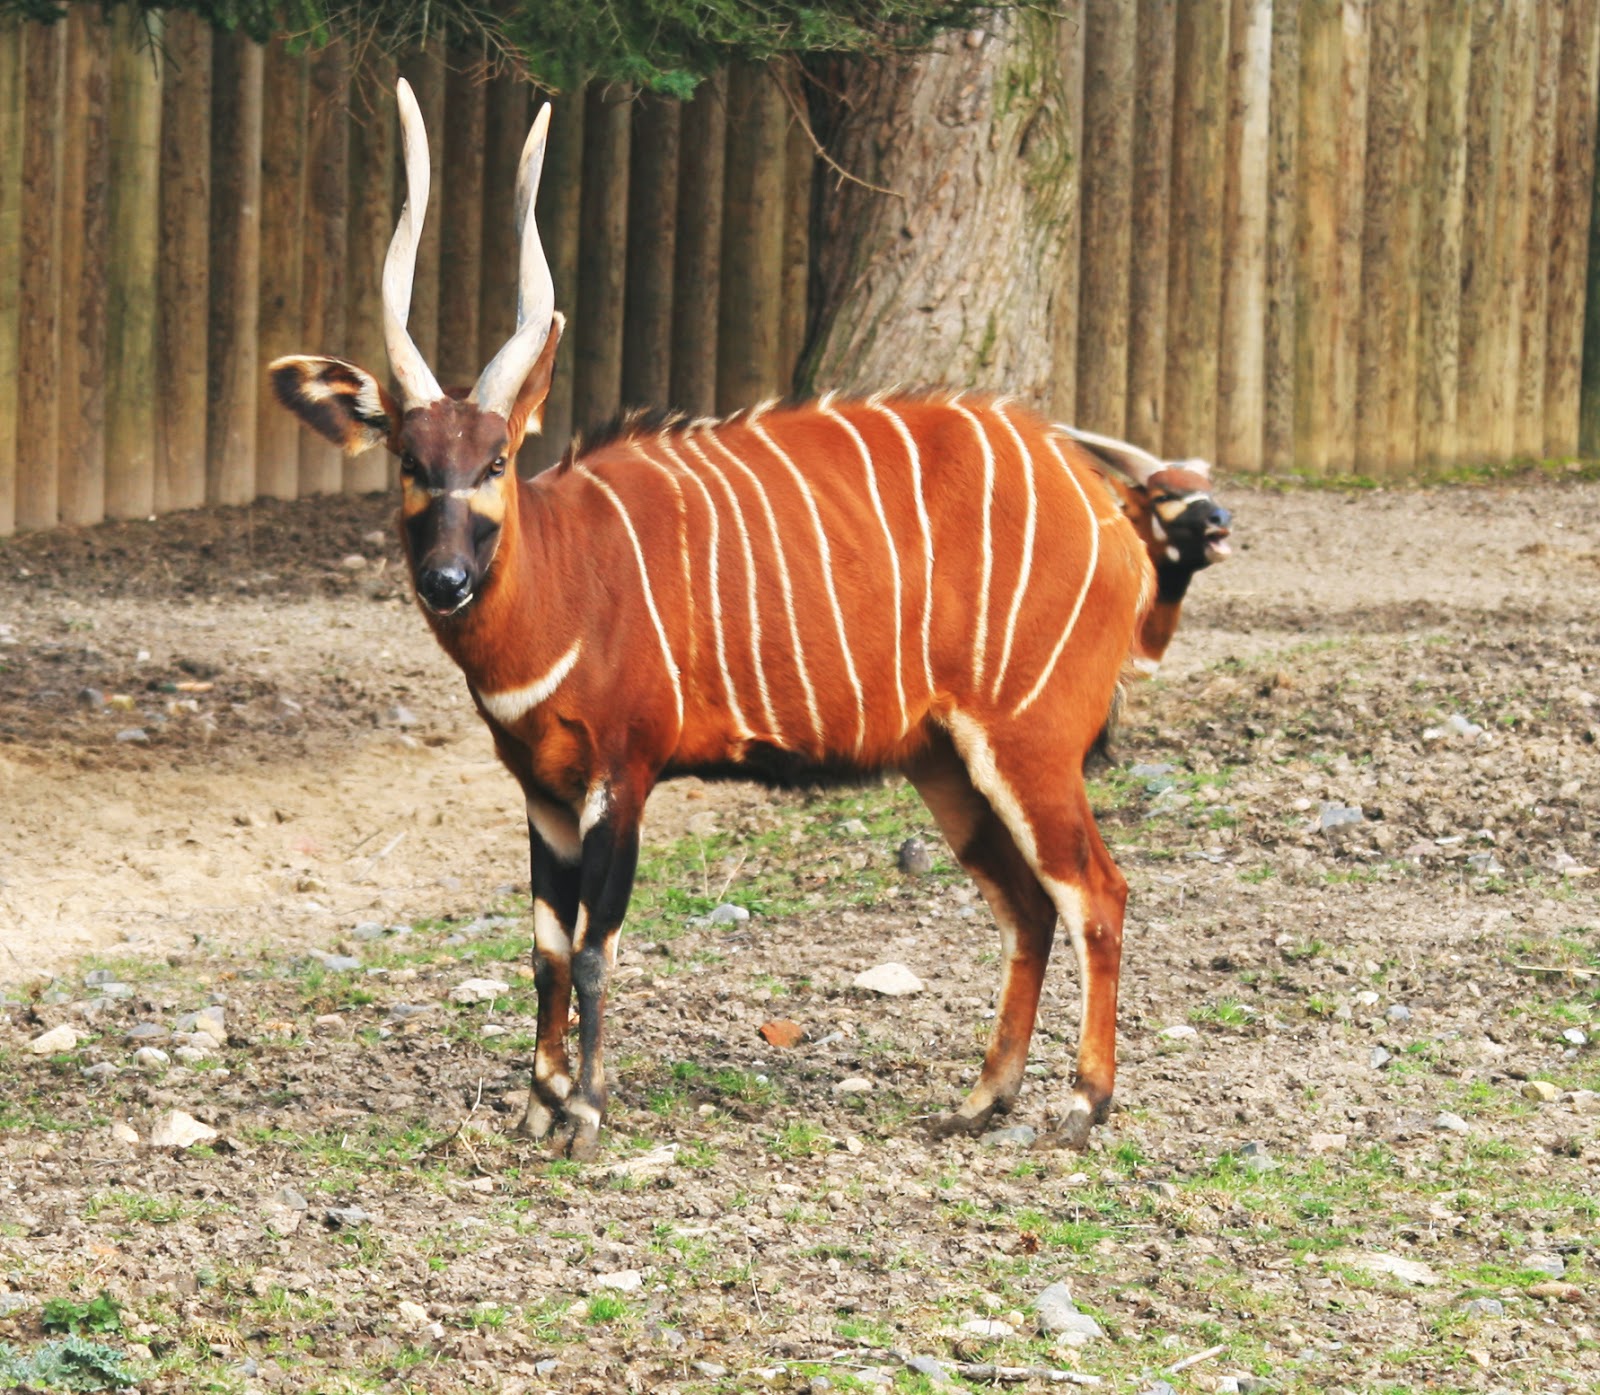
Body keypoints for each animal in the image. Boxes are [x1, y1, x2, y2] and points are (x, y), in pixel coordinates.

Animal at [272, 81, 1160, 1161]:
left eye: (495, 461)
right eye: (409, 459)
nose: (445, 578)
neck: (566, 579)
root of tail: (1107, 507)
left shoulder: (624, 771)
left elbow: (596, 945)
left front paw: (585, 1113)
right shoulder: (540, 789)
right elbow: (544, 949)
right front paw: (535, 1106)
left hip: (1030, 745)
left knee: (1096, 892)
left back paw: (1081, 1103)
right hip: (946, 761)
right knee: (1026, 907)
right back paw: (980, 1098)